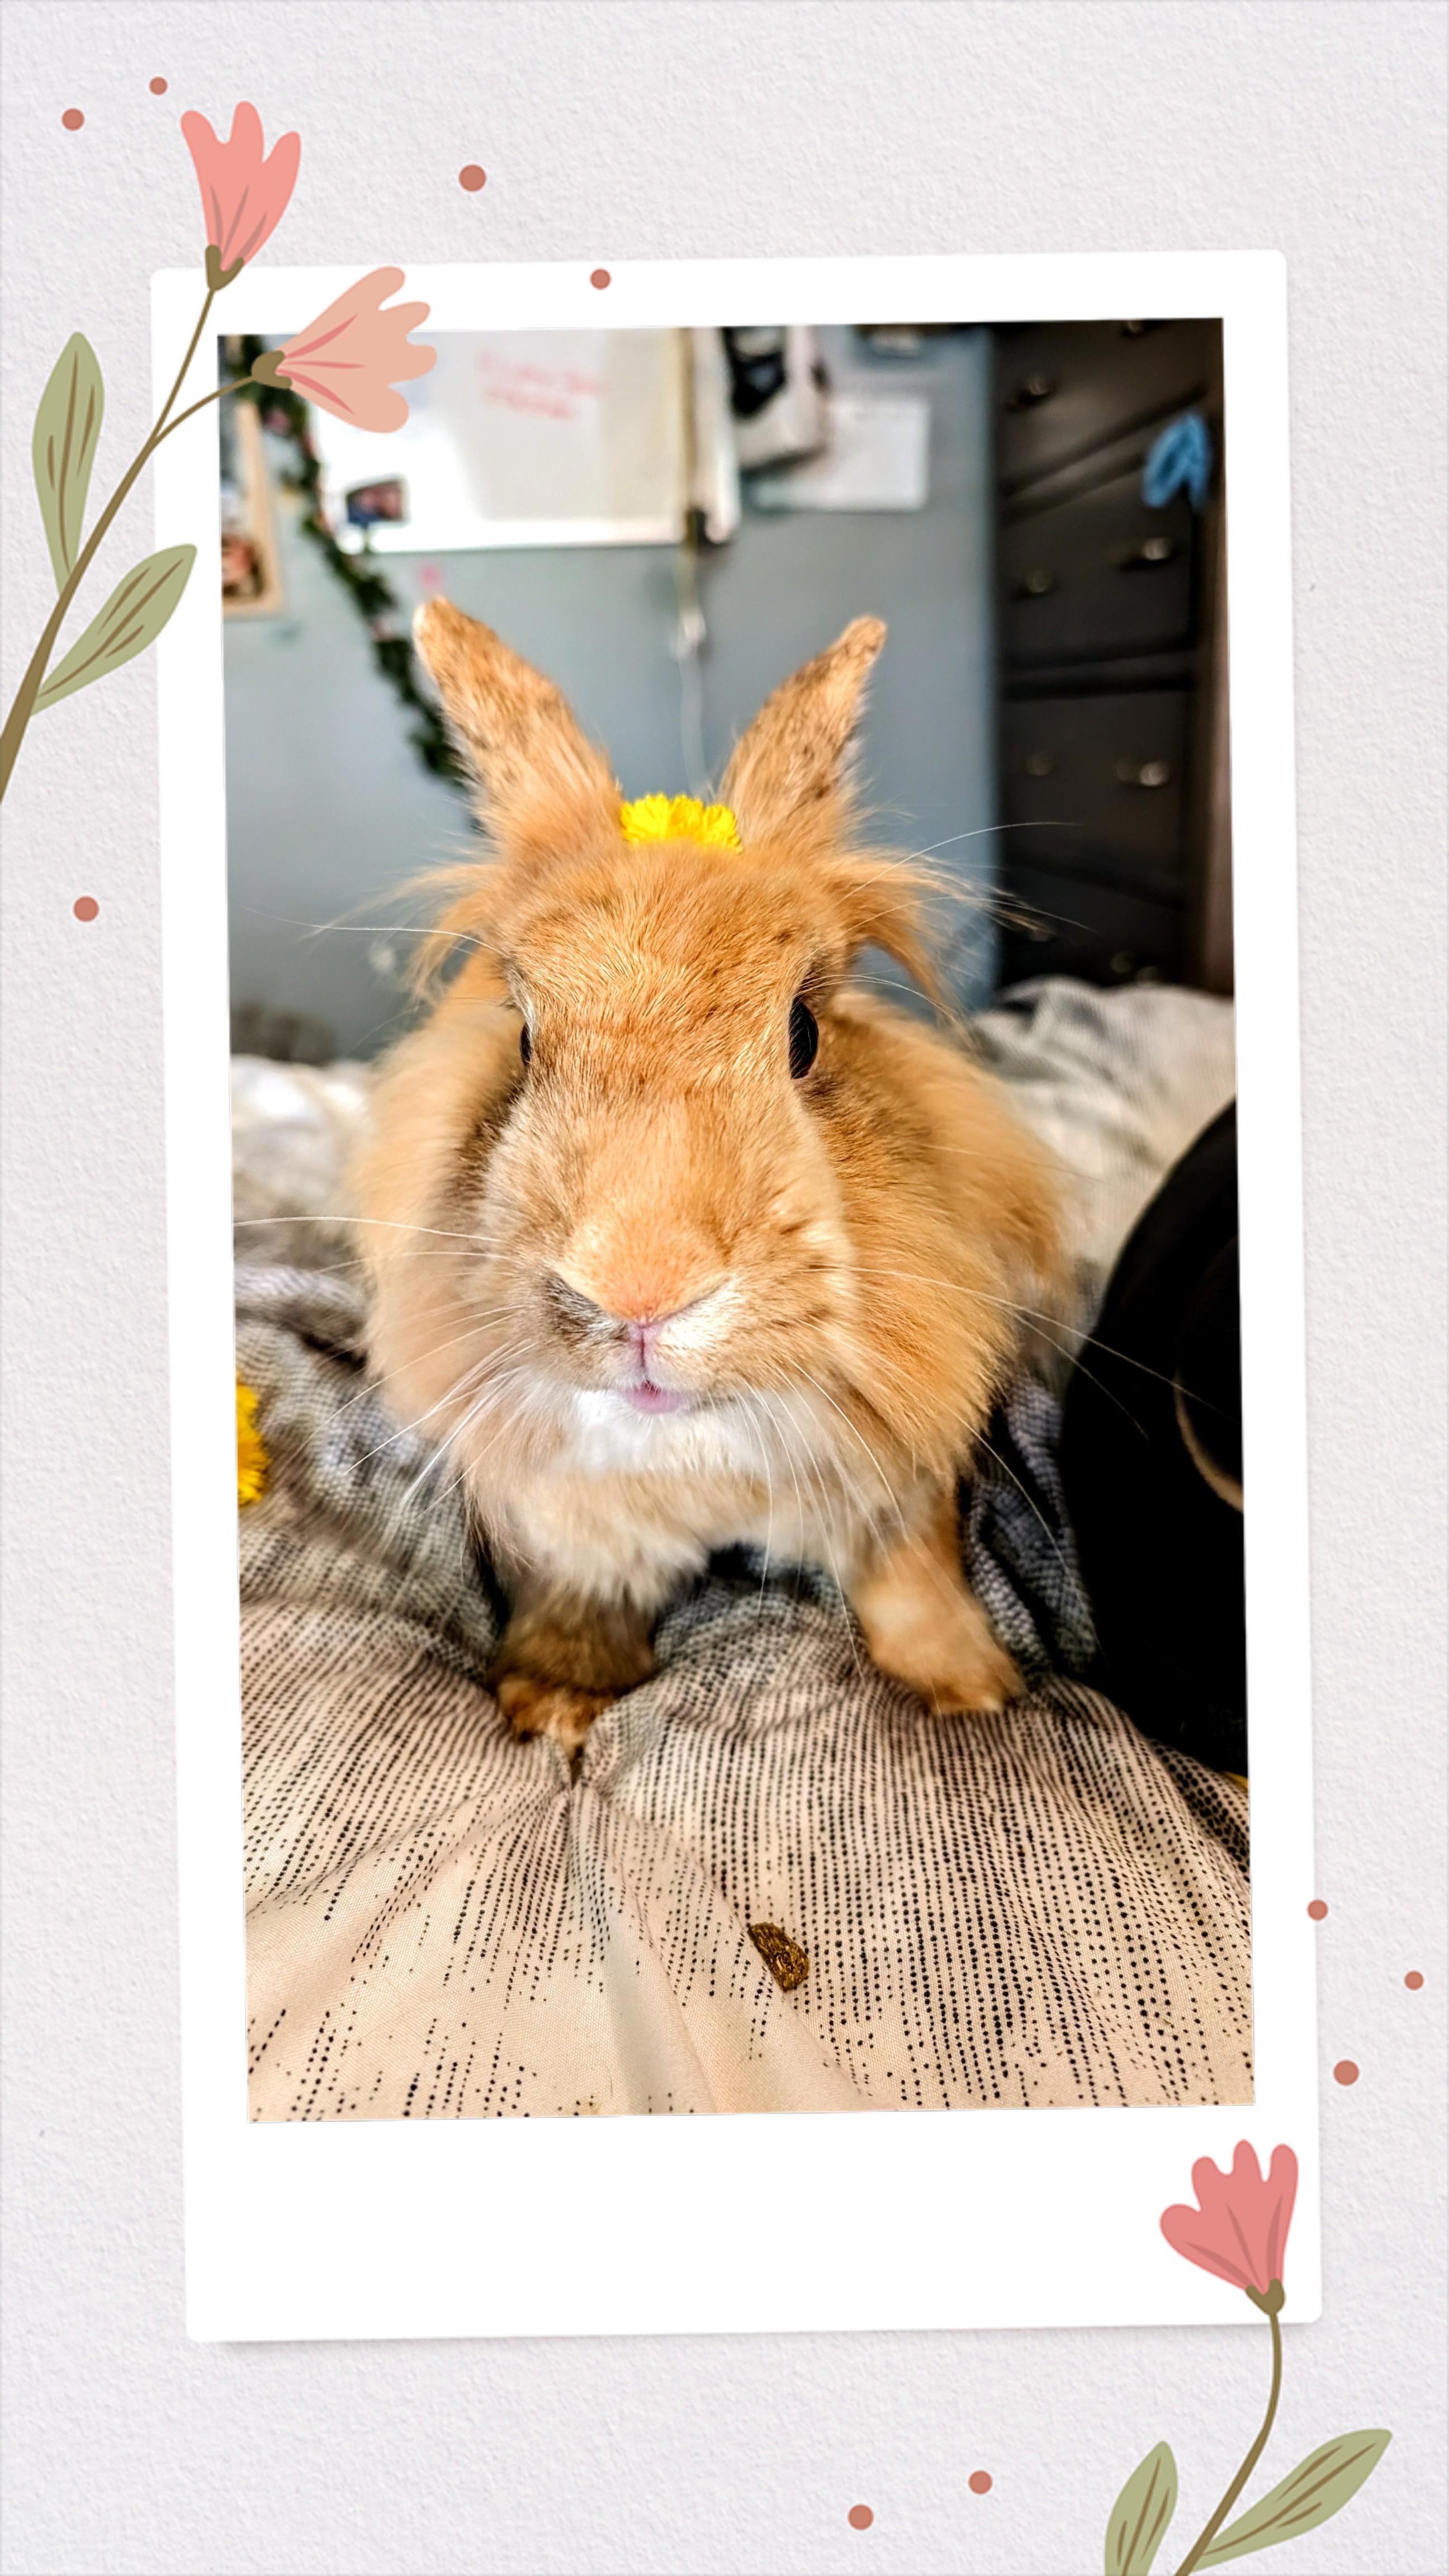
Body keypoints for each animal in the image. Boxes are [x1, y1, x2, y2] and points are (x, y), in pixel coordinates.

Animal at [354, 600, 1063, 1753]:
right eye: (523, 1040)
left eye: (803, 1032)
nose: (638, 1287)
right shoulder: (573, 1527)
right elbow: (582, 1593)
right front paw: (553, 1703)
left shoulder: (902, 1473)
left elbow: (913, 1578)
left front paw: (967, 1691)